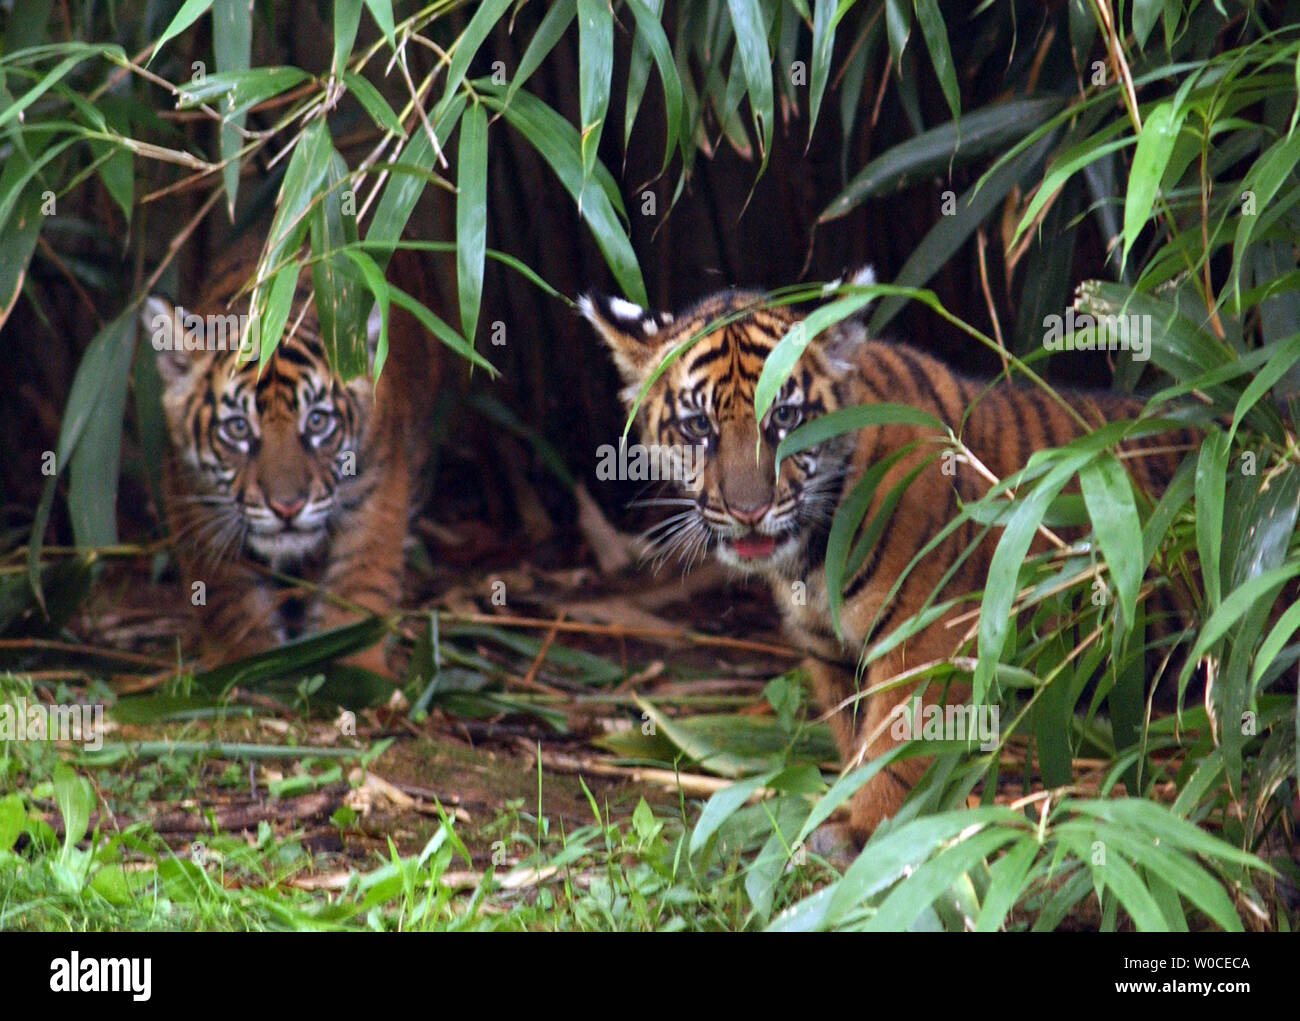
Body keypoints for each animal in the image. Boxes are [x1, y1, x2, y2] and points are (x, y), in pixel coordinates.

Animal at [142, 238, 441, 677]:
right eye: (238, 428)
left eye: (317, 421)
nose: (287, 507)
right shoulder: (195, 502)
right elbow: (231, 602)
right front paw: (248, 661)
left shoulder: (376, 492)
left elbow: (360, 586)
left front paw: (358, 669)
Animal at [583, 270, 1197, 844]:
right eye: (698, 426)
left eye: (784, 418)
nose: (748, 511)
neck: (808, 560)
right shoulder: (829, 652)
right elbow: (857, 738)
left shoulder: (926, 634)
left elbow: (894, 742)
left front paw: (870, 831)